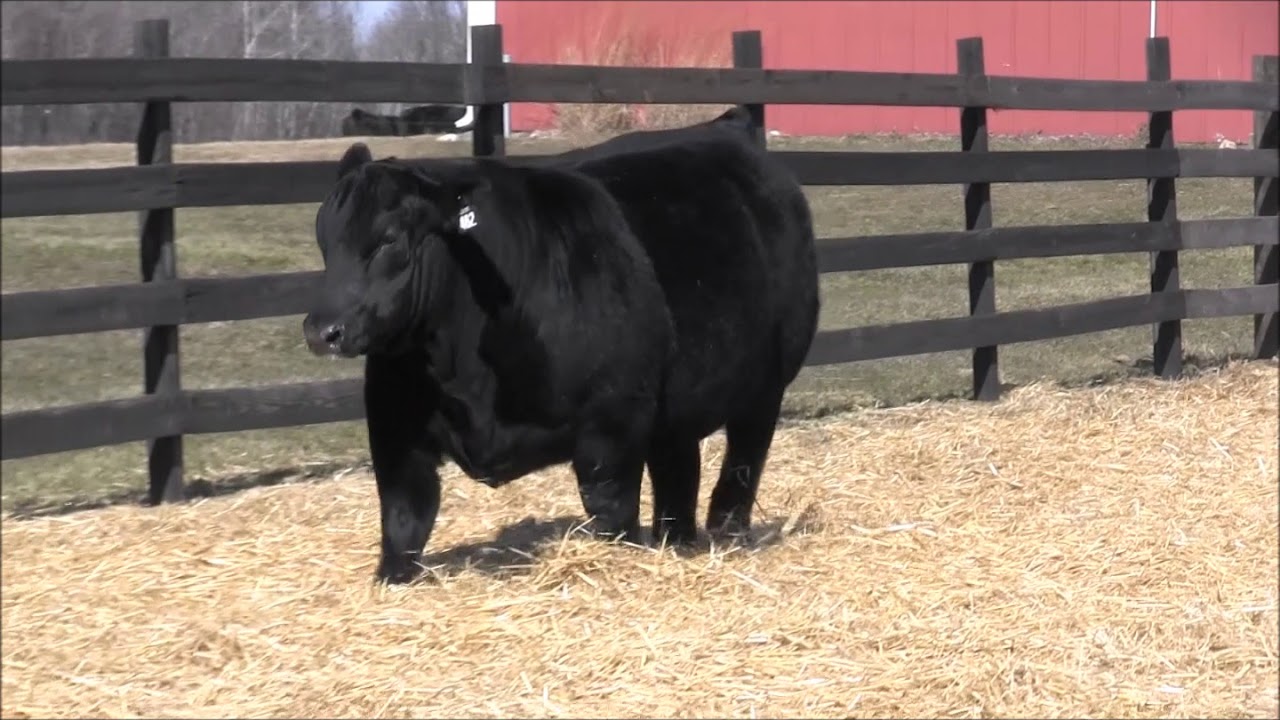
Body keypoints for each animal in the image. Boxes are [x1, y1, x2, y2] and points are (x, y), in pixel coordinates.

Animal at [302, 108, 820, 584]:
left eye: (388, 239)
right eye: (324, 239)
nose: (322, 329)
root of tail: (727, 126)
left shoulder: (611, 426)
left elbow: (610, 511)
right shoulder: (394, 431)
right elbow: (404, 518)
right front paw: (391, 579)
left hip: (764, 387)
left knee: (743, 461)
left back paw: (728, 531)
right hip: (677, 404)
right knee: (679, 470)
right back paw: (676, 541)